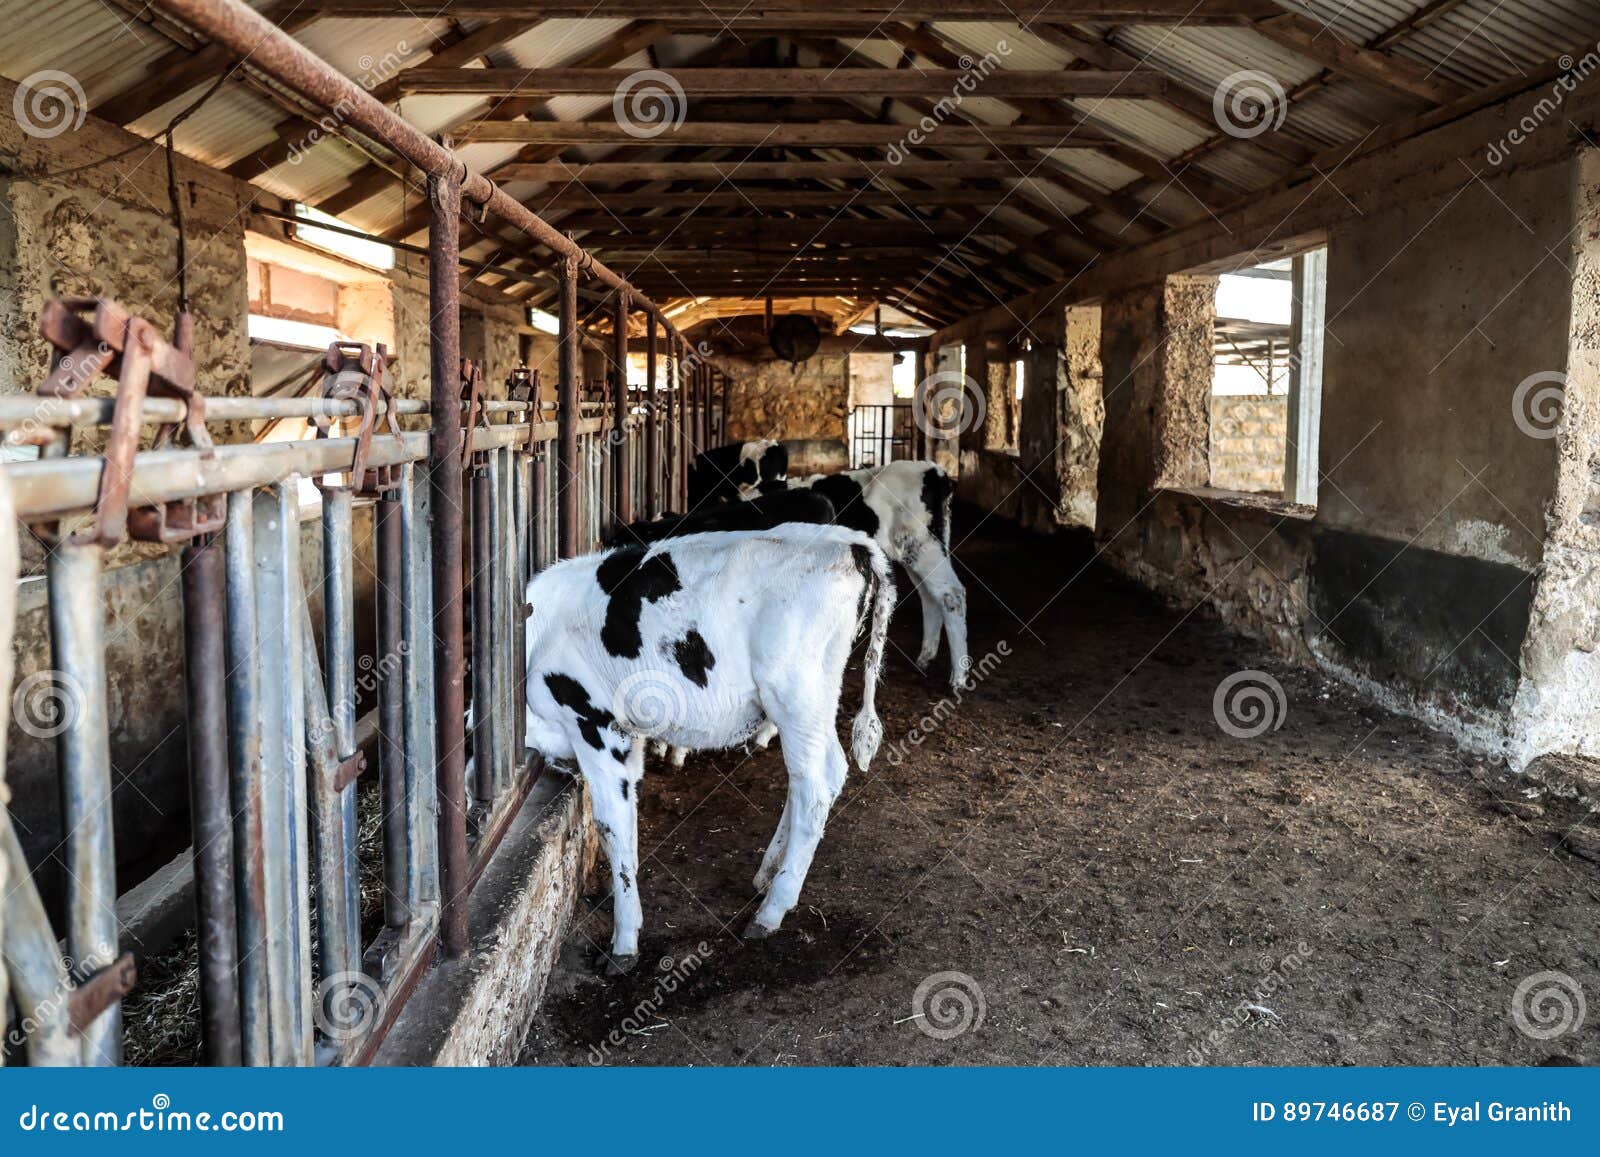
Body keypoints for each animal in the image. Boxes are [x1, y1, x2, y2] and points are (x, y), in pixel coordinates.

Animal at [523, 524, 893, 971]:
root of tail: (850, 541)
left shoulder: (595, 725)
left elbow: (611, 823)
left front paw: (624, 941)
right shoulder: (628, 737)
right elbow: (626, 821)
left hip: (794, 694)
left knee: (815, 788)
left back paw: (771, 910)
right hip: (815, 698)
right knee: (823, 773)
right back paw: (769, 873)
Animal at [780, 460, 969, 689]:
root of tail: (935, 470)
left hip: (926, 549)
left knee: (952, 594)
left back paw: (959, 677)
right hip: (915, 554)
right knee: (930, 597)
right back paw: (925, 658)